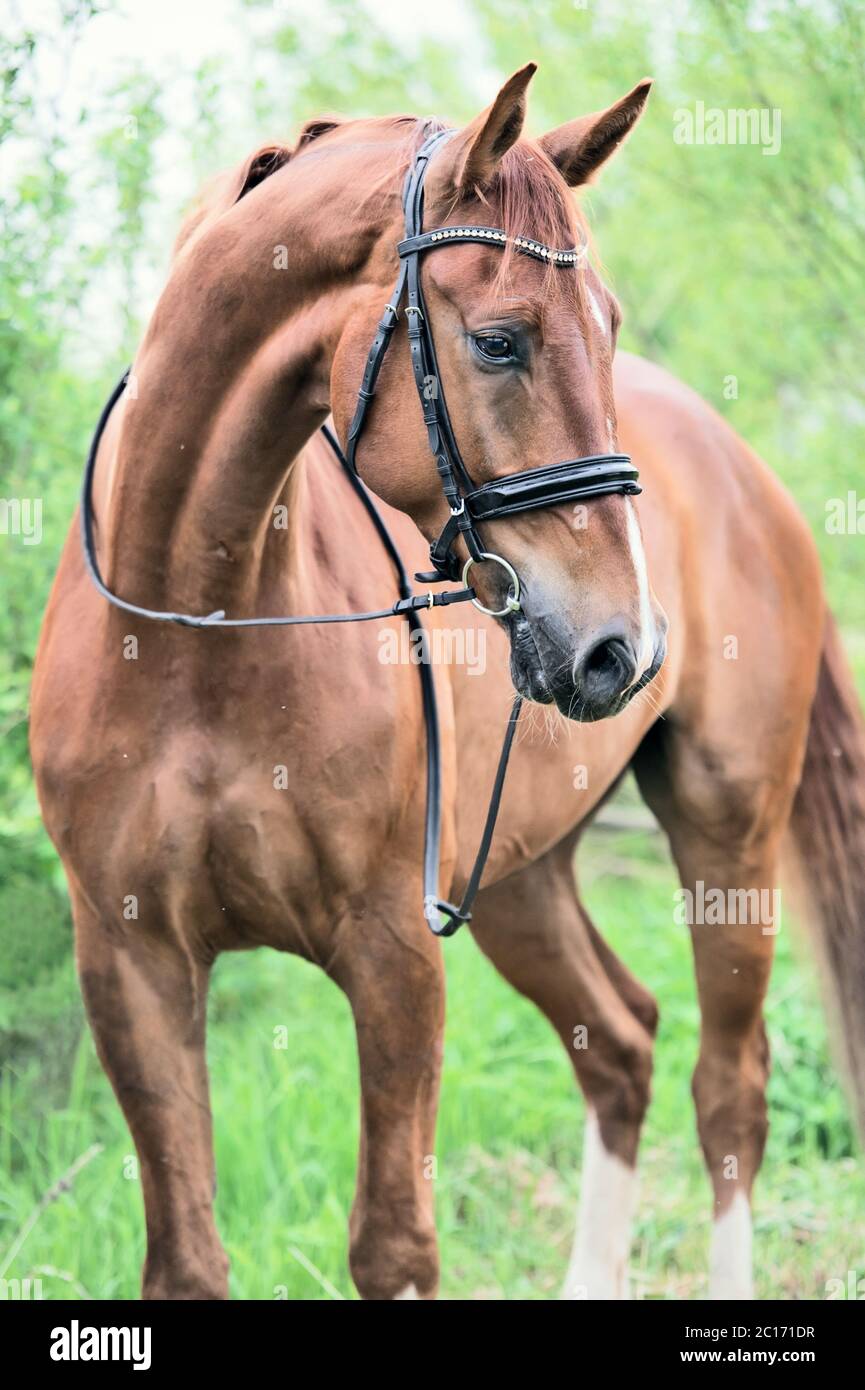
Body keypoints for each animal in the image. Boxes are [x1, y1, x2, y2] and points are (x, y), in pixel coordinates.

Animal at [30, 64, 865, 1301]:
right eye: (501, 340)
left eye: (607, 326)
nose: (622, 647)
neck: (196, 621)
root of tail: (739, 466)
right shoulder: (132, 965)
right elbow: (185, 1257)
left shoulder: (391, 954)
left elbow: (394, 1243)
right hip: (520, 876)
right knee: (620, 1044)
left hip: (728, 835)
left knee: (730, 1093)